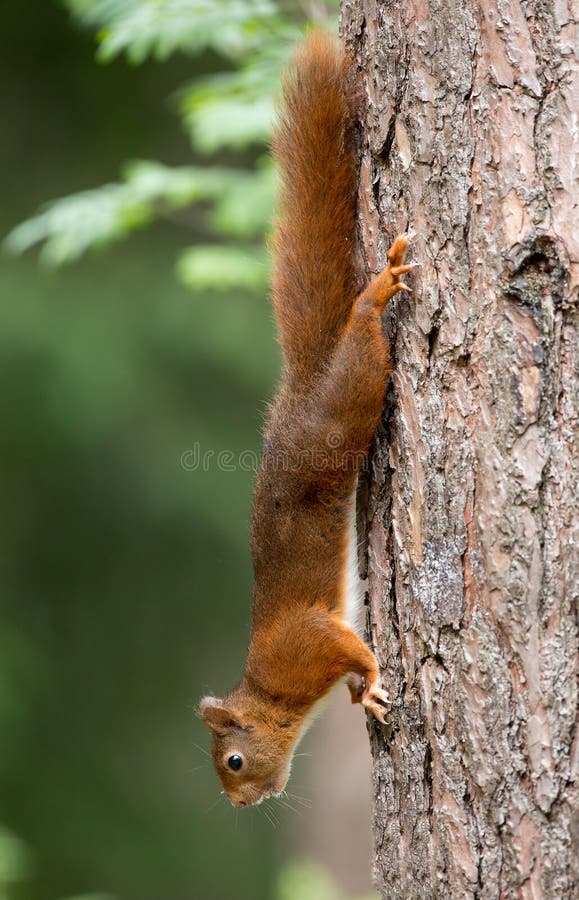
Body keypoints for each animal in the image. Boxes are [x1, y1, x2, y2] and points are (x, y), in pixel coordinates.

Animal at [199, 32, 413, 808]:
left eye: (232, 761)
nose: (240, 805)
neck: (269, 693)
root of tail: (300, 387)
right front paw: (361, 696)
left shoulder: (306, 644)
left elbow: (350, 648)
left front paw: (371, 681)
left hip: (347, 398)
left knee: (362, 341)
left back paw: (376, 293)